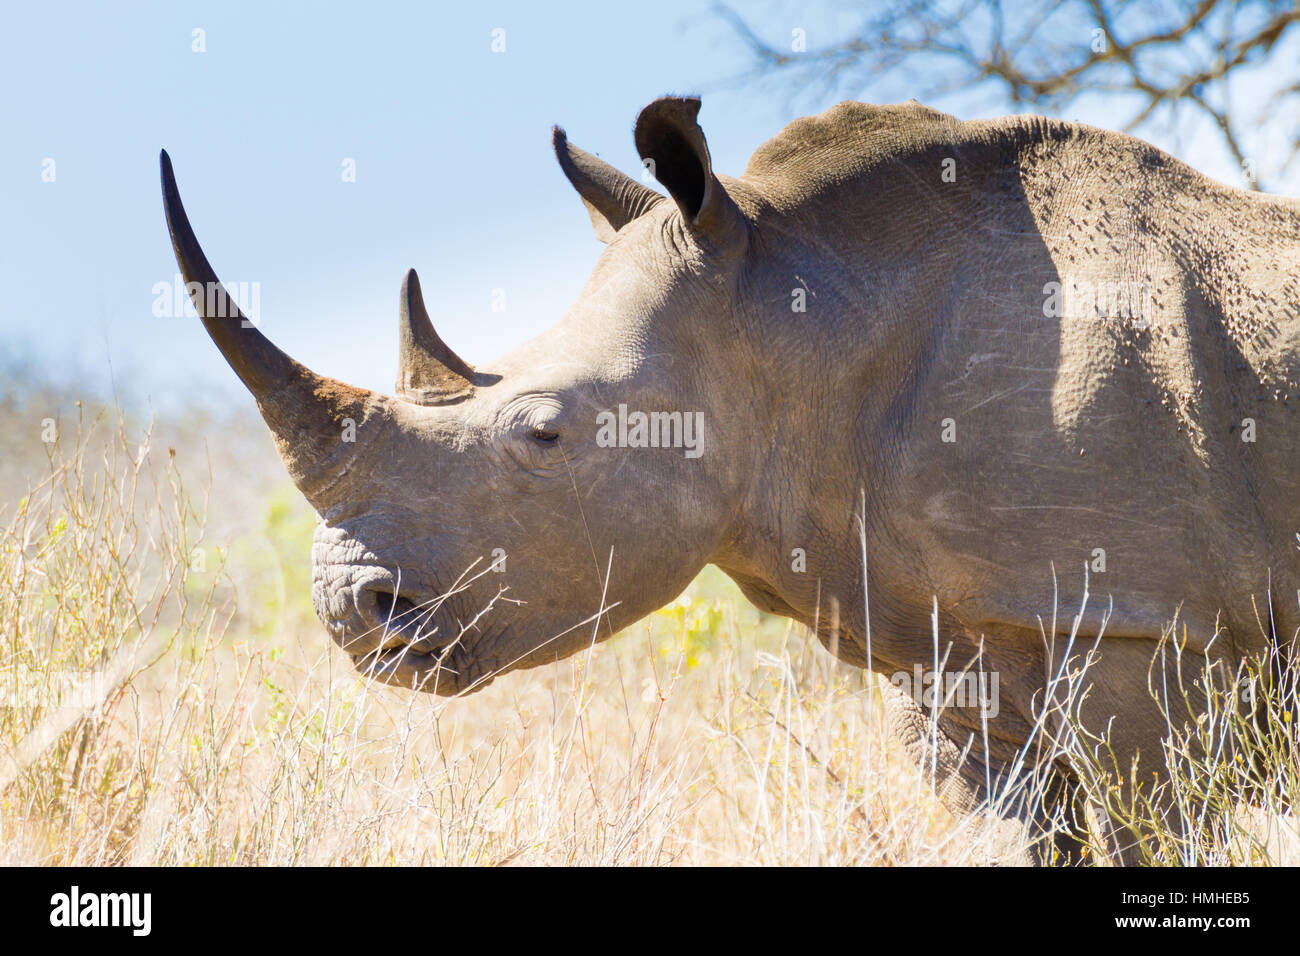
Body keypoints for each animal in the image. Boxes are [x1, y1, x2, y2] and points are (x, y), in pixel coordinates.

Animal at [161, 95, 1300, 862]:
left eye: (543, 432)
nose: (349, 611)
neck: (799, 319)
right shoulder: (962, 652)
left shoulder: (1138, 619)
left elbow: (1148, 831)